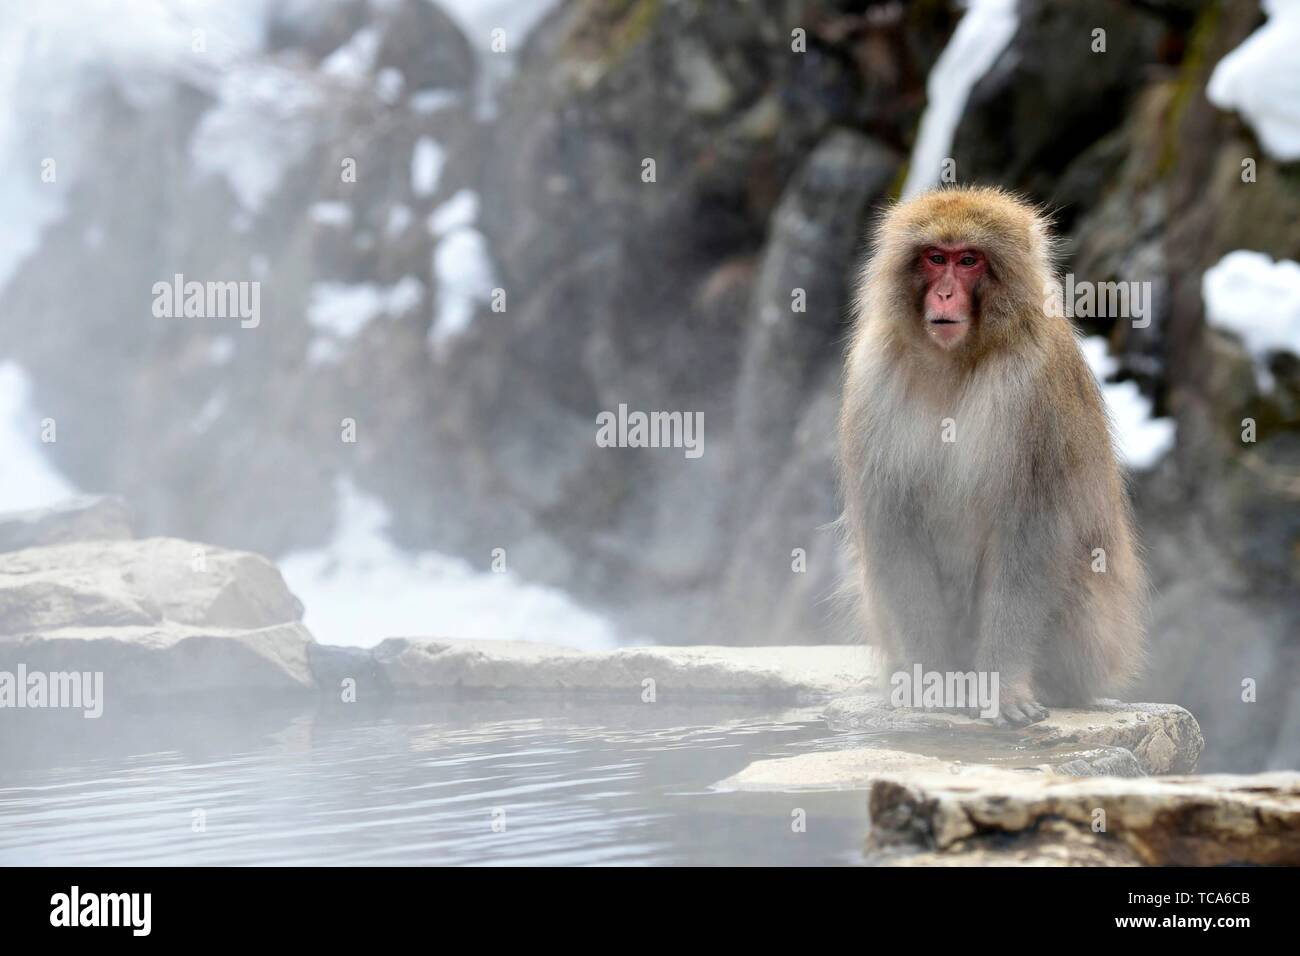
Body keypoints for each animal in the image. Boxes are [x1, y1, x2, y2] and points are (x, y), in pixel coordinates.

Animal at [836, 186, 1146, 728]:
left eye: (969, 261)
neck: (952, 361)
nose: (943, 294)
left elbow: (1031, 532)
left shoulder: (1036, 384)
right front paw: (929, 682)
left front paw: (1003, 689)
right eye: (935, 258)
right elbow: (894, 526)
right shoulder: (873, 377)